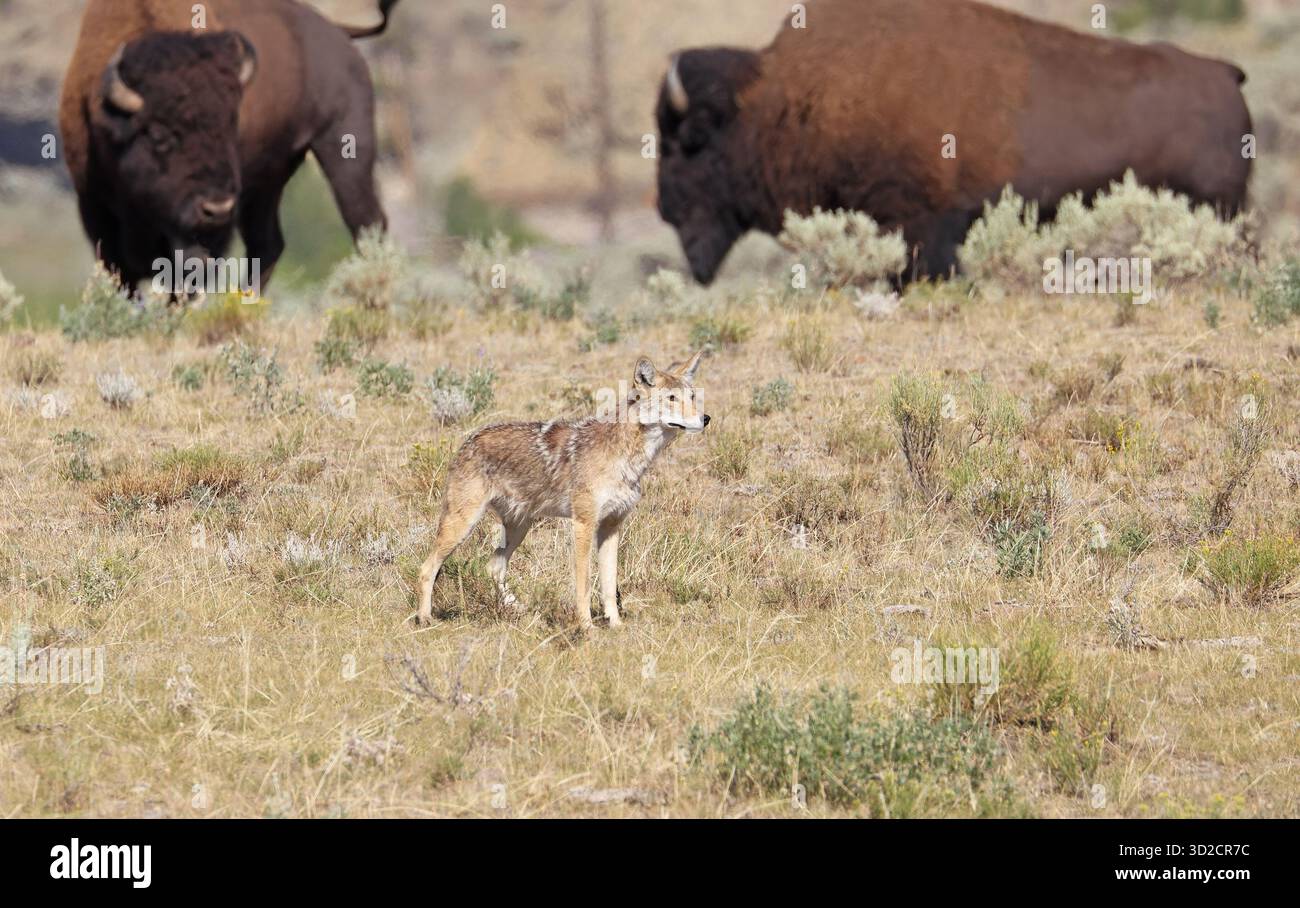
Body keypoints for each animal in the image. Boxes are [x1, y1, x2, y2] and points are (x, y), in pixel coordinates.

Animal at [59, 0, 400, 291]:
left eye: (231, 126)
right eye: (159, 135)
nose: (217, 208)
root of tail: (338, 32)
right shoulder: (94, 208)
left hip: (346, 149)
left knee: (367, 223)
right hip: (268, 181)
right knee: (268, 244)